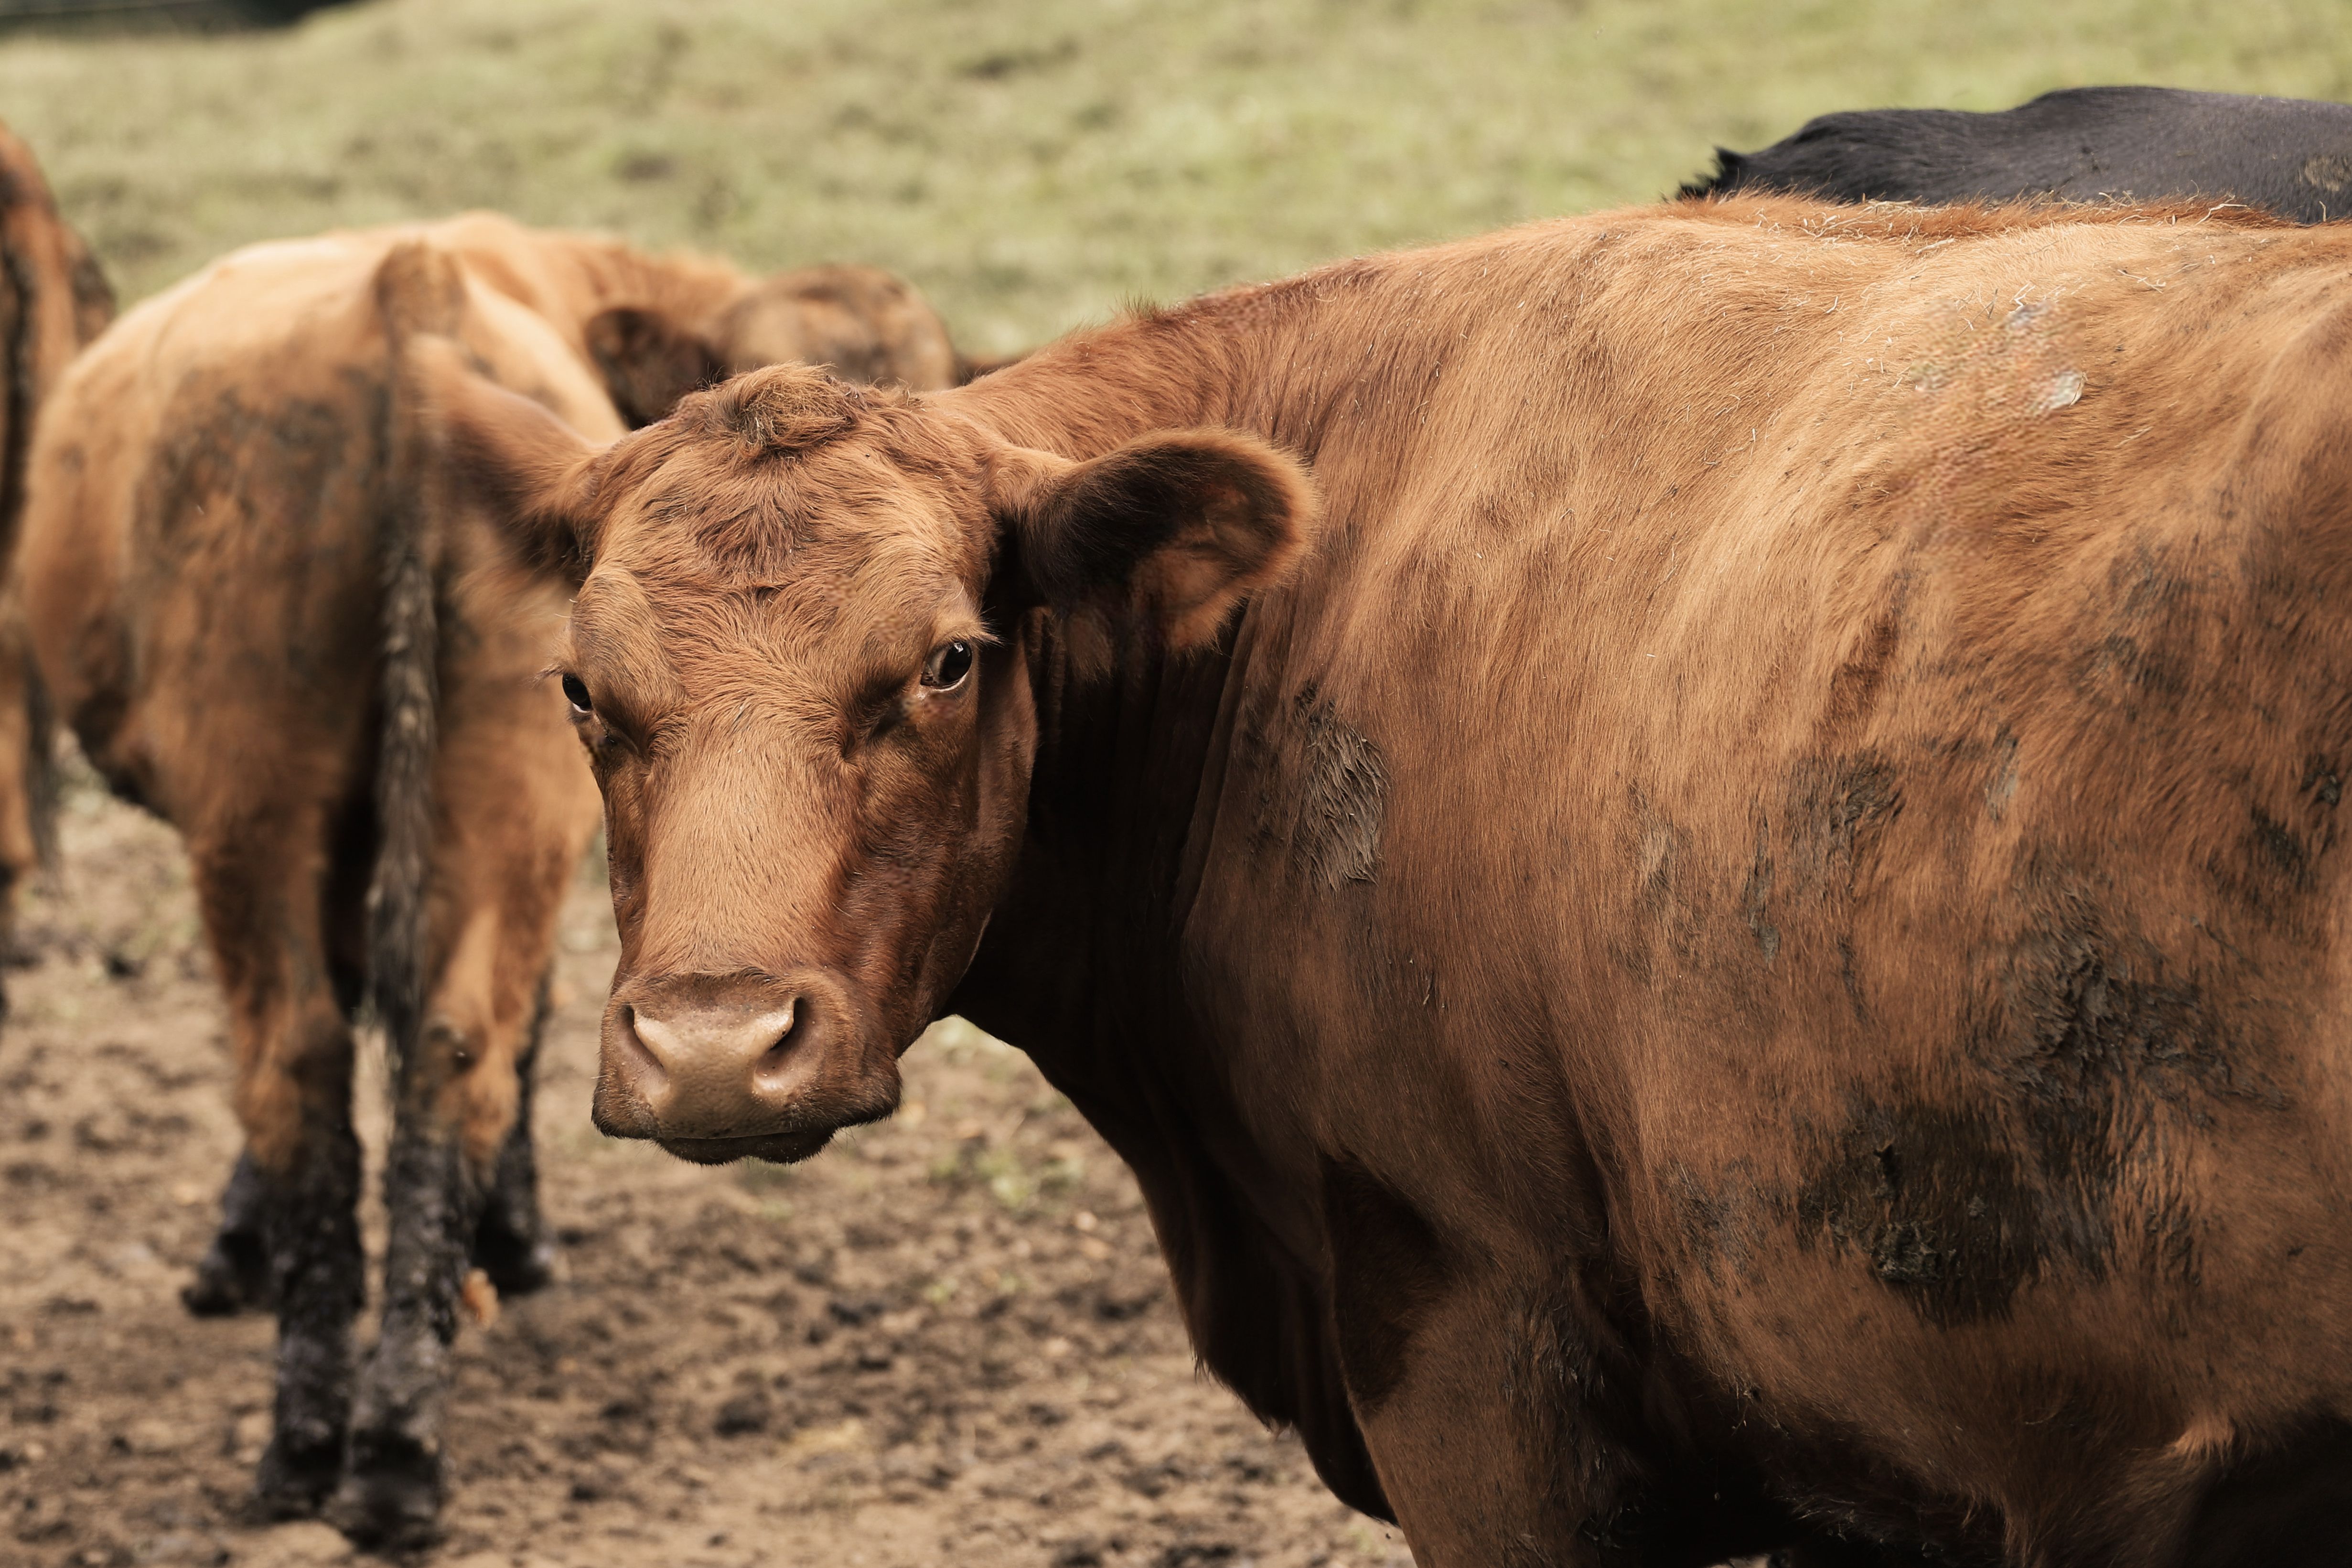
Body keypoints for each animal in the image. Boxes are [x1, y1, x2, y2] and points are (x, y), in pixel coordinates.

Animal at [13, 212, 977, 1546]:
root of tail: (408, 279)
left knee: (315, 1057)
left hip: (272, 812)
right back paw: (385, 1438)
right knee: (436, 1047)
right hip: (469, 798)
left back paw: (335, 1435)